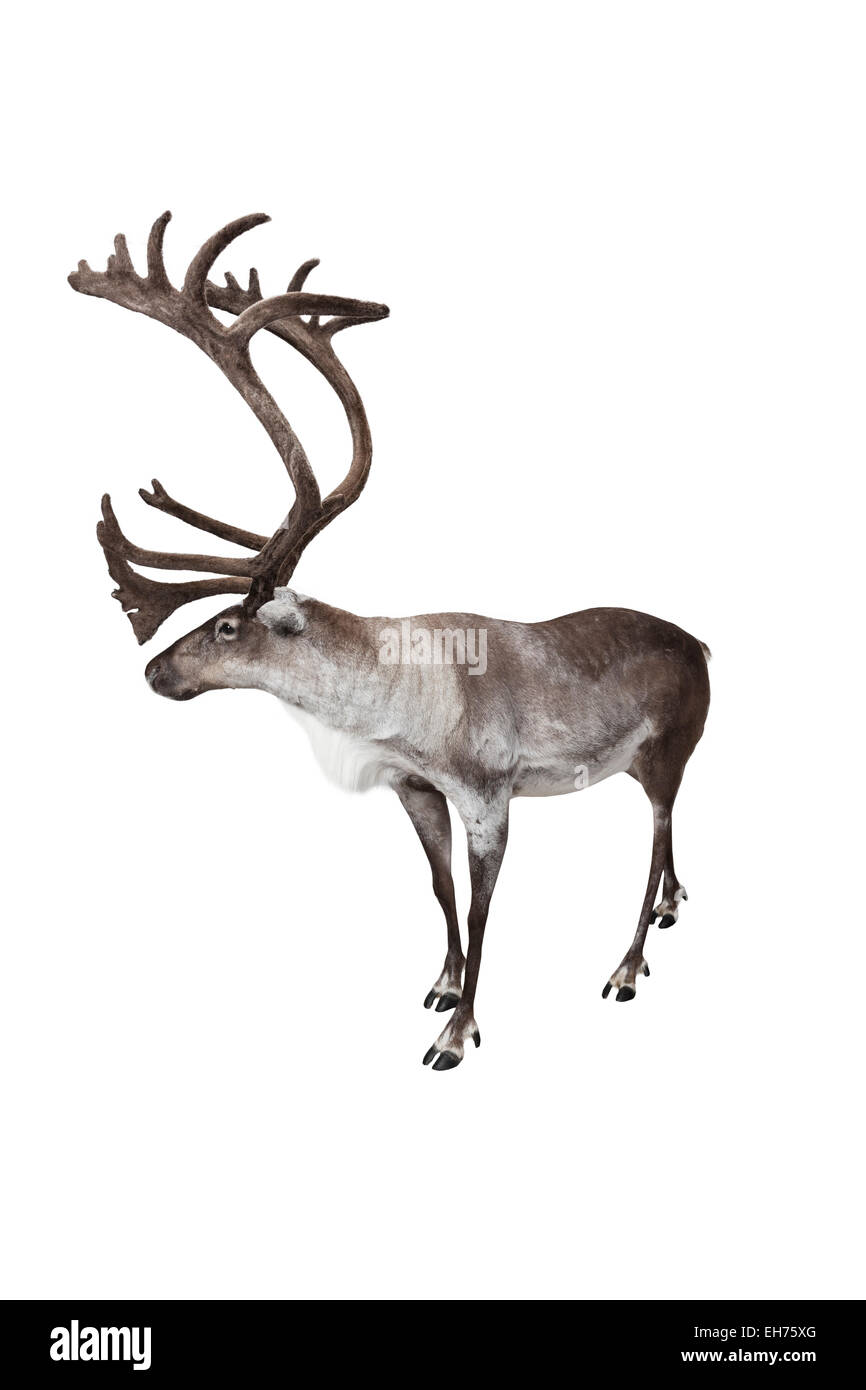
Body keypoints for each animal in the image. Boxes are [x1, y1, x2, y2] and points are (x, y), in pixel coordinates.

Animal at [69, 213, 711, 1071]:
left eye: (228, 625)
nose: (152, 670)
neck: (396, 700)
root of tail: (704, 645)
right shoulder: (413, 787)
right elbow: (439, 890)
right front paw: (442, 985)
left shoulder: (488, 794)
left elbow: (480, 910)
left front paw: (457, 1032)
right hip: (649, 761)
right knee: (667, 842)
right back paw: (673, 908)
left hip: (668, 744)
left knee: (652, 842)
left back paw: (628, 966)